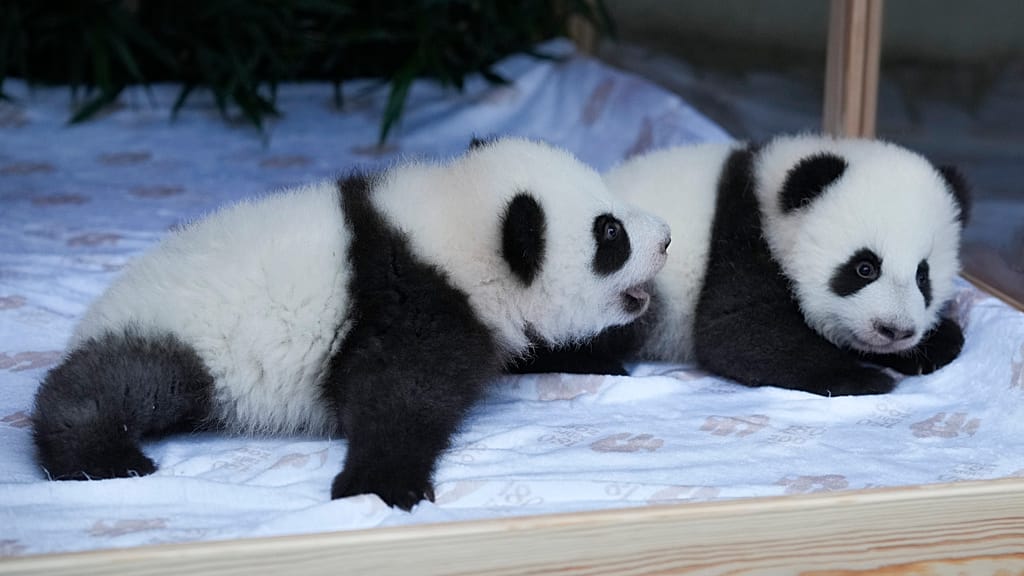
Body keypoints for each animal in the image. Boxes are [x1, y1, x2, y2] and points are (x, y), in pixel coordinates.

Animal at [32, 137, 672, 510]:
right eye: (610, 233)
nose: (666, 238)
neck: (453, 229)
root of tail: (94, 316)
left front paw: (597, 359)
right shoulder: (412, 300)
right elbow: (399, 394)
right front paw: (382, 482)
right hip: (178, 339)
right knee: (122, 383)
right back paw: (100, 456)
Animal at [513, 134, 970, 397]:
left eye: (924, 275)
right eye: (864, 268)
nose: (895, 331)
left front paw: (938, 343)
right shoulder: (740, 234)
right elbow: (737, 331)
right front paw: (861, 377)